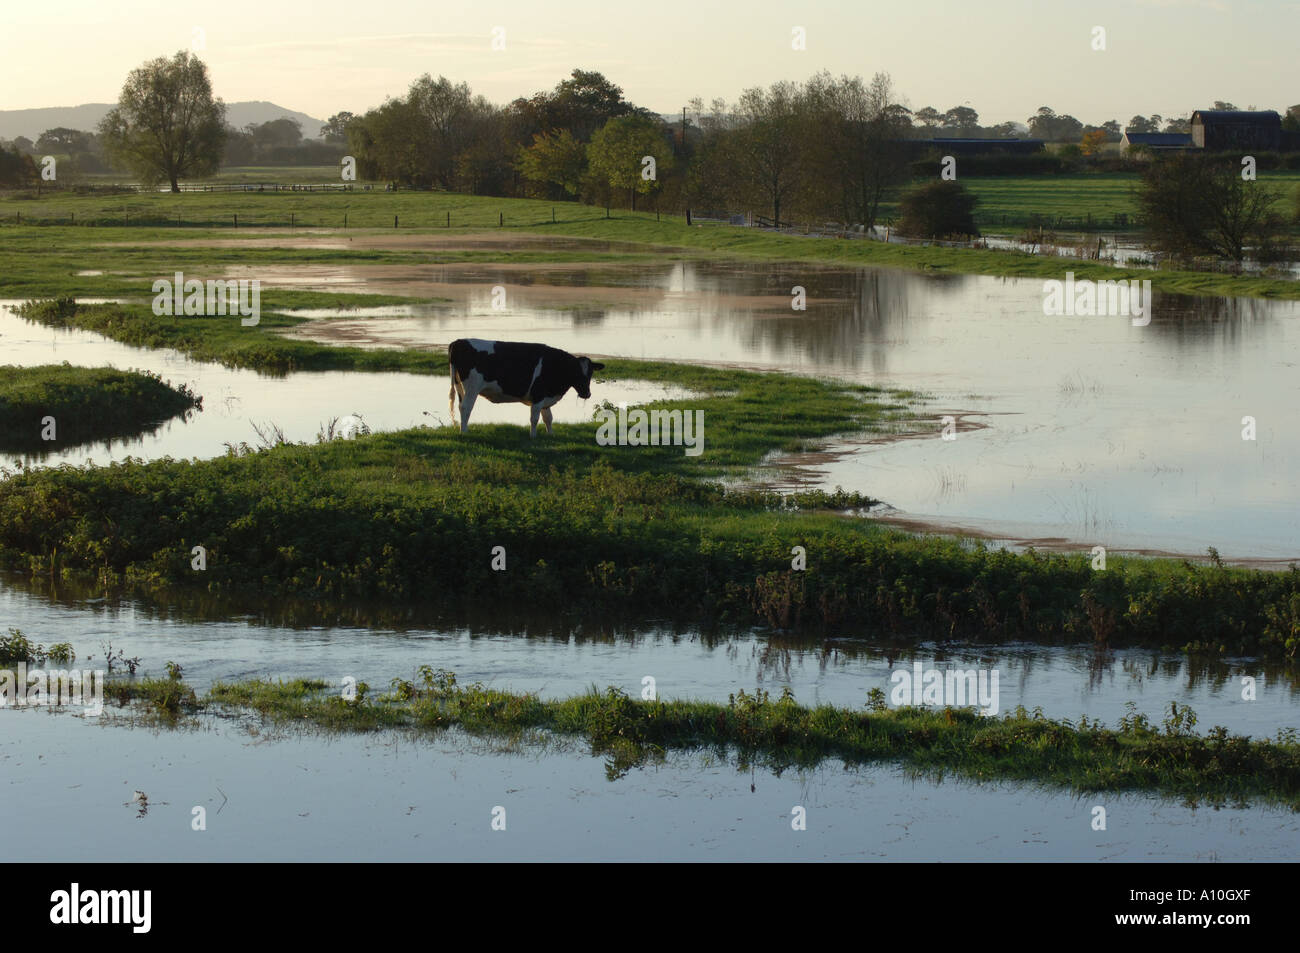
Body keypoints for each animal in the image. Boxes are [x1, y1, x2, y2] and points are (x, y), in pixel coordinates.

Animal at [448, 338, 605, 437]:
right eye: (576, 373)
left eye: (591, 373)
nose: (586, 394)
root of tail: (458, 342)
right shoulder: (538, 395)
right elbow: (534, 418)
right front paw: (533, 436)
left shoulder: (545, 396)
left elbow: (548, 417)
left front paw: (551, 435)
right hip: (472, 387)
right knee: (466, 408)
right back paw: (464, 432)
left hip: (459, 385)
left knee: (460, 406)